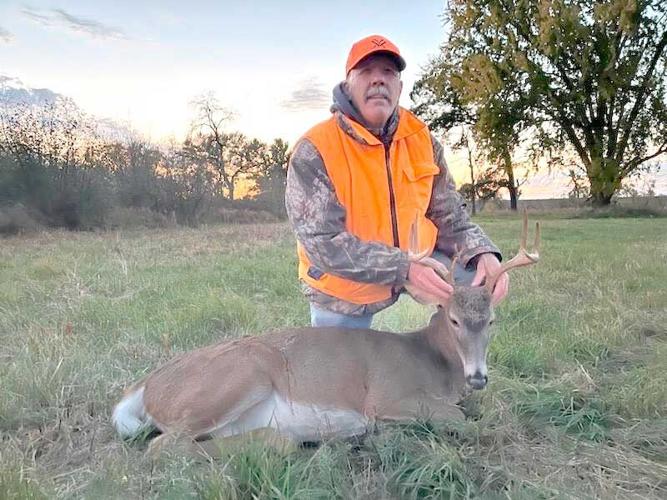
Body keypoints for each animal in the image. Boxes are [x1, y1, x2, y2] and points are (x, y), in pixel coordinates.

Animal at [112, 212, 540, 452]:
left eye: (492, 320)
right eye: (452, 319)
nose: (478, 377)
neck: (434, 365)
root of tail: (144, 387)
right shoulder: (388, 395)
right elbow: (465, 421)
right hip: (237, 377)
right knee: (162, 447)